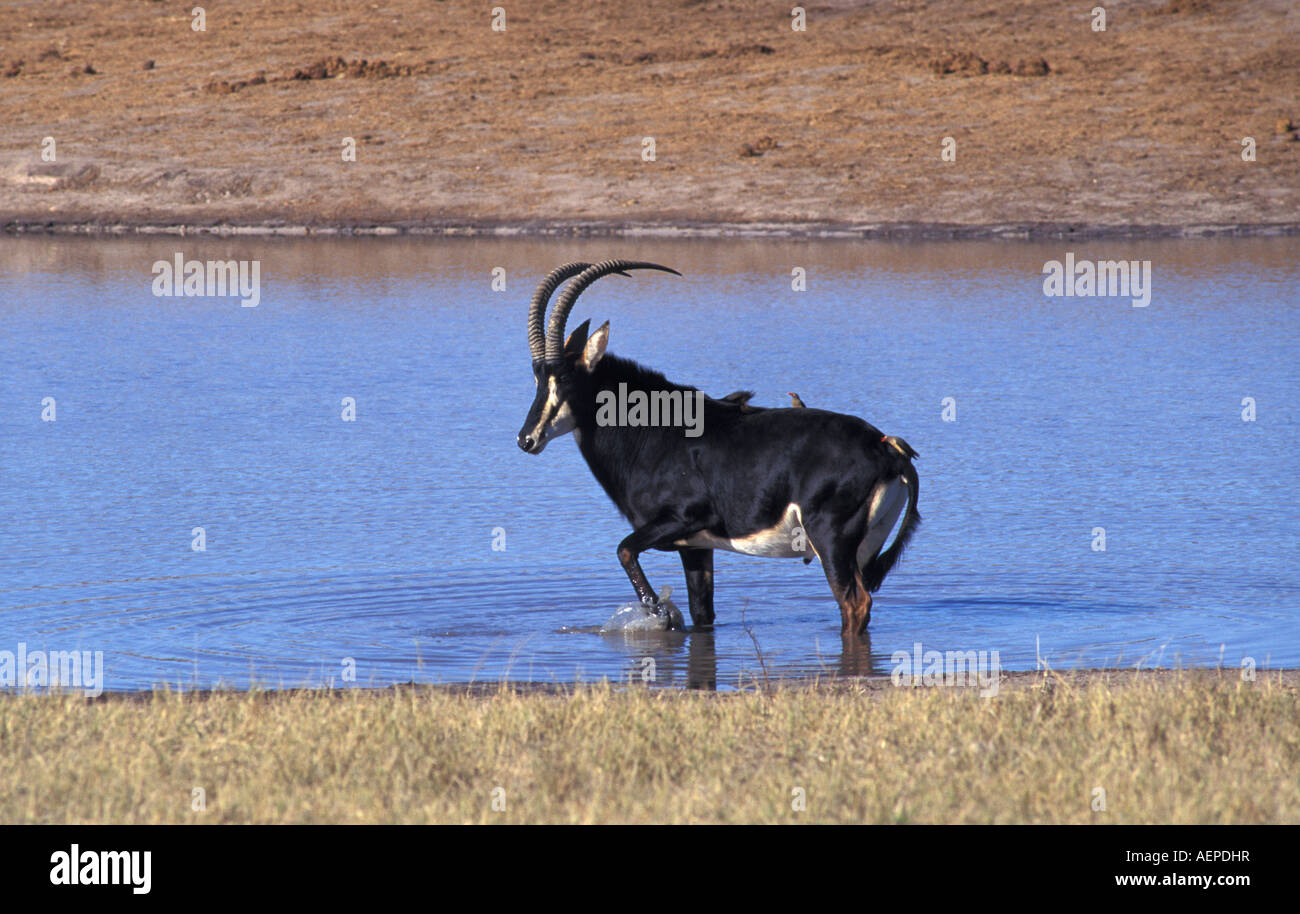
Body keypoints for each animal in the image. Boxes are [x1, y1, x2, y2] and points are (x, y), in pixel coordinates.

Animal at [516, 260, 920, 637]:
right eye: (538, 378)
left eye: (565, 379)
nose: (526, 440)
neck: (649, 429)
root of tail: (886, 447)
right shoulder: (695, 547)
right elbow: (702, 614)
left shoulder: (684, 518)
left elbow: (624, 549)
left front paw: (660, 614)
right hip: (863, 548)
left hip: (830, 540)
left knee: (854, 603)